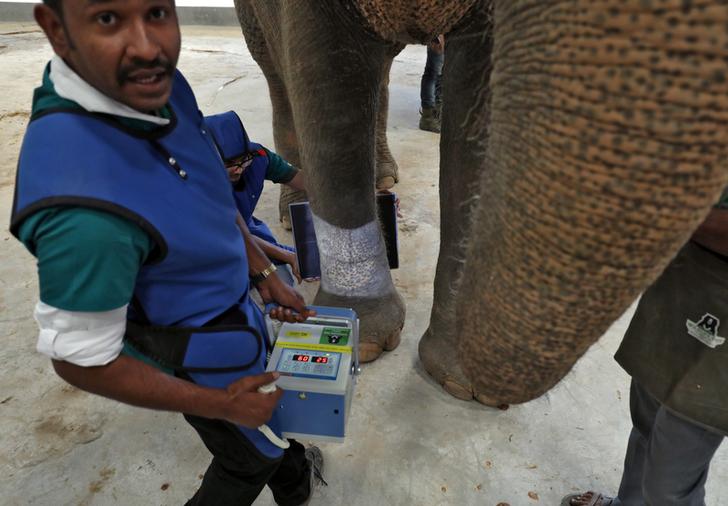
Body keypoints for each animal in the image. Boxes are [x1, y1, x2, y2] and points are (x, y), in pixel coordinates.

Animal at [233, 0, 728, 406]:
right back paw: (296, 203)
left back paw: (385, 181)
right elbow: (327, 82)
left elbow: (483, 107)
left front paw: (459, 384)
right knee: (277, 70)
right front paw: (363, 338)